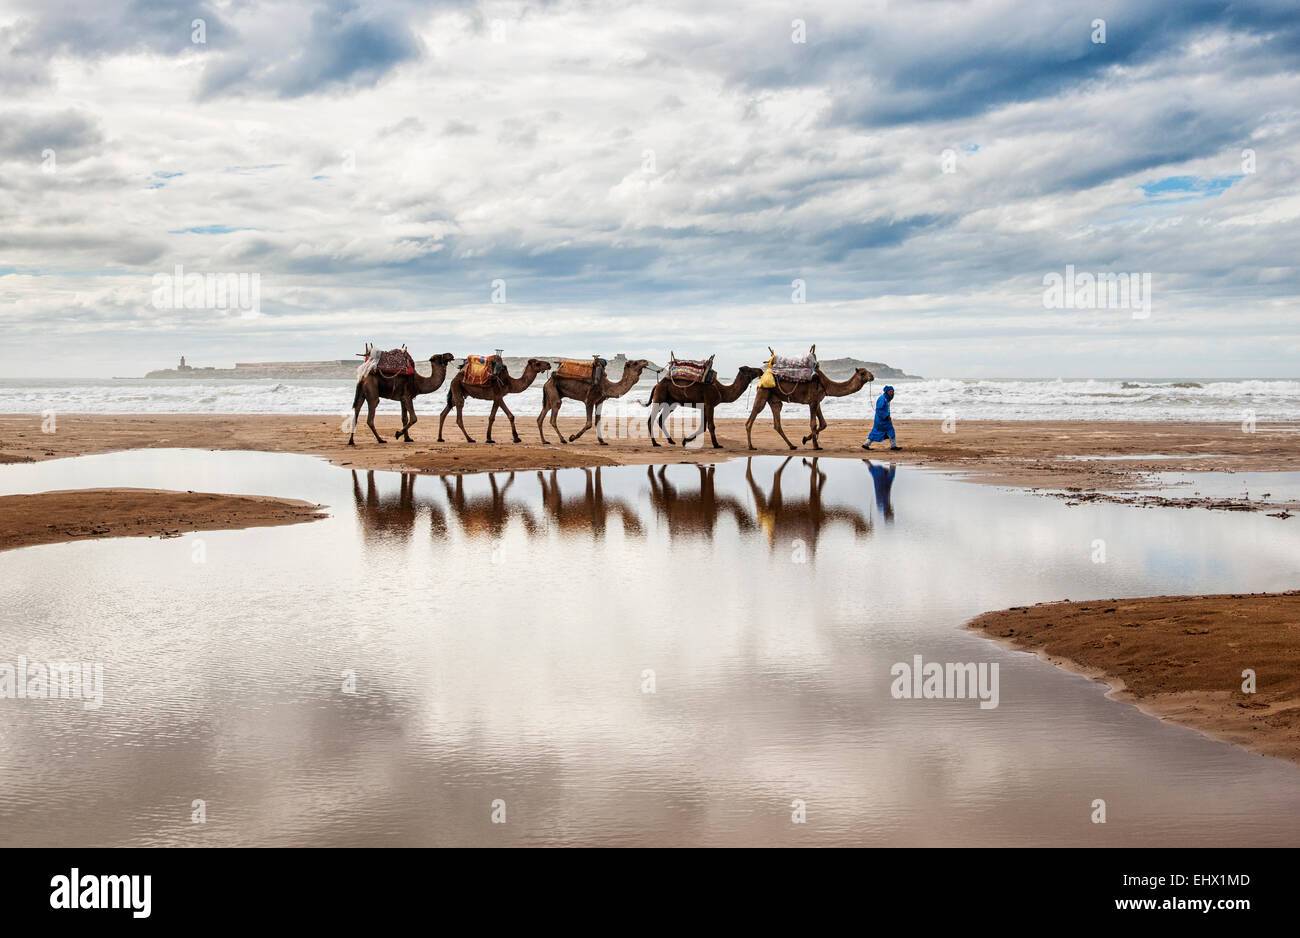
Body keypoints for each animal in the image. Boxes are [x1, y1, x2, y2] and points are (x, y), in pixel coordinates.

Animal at [745, 366, 874, 451]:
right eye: (863, 373)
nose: (872, 376)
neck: (826, 384)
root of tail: (761, 378)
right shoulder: (813, 401)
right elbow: (813, 424)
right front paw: (815, 446)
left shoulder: (817, 401)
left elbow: (823, 423)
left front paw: (805, 439)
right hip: (763, 392)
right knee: (753, 415)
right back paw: (751, 446)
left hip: (774, 399)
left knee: (777, 422)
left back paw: (792, 445)